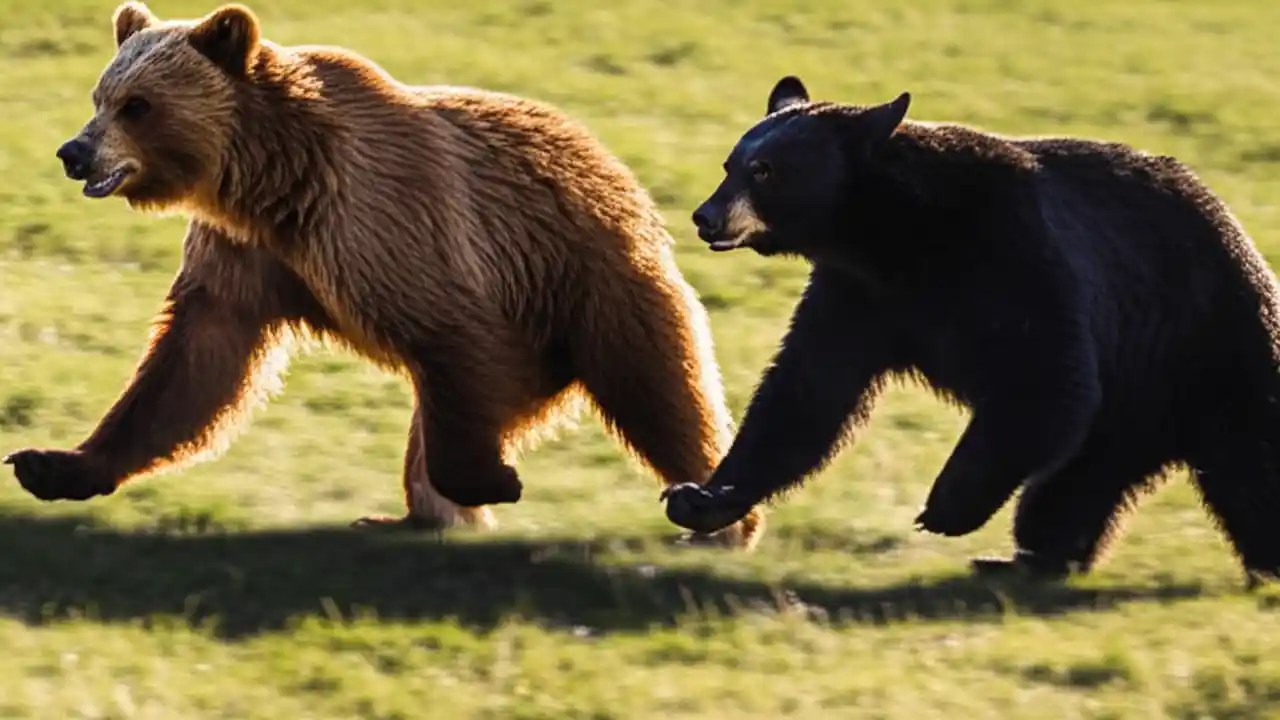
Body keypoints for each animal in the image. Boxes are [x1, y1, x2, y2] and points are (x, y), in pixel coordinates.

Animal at [3, 1, 765, 549]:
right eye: (101, 94)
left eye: (138, 105)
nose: (74, 152)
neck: (272, 180)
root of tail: (613, 164)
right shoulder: (244, 256)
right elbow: (192, 366)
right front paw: (52, 463)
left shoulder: (391, 221)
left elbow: (450, 327)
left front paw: (493, 480)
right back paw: (409, 516)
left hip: (593, 282)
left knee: (660, 392)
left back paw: (717, 520)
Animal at [661, 75, 1280, 585]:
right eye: (731, 163)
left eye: (764, 170)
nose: (705, 217)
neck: (897, 235)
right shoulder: (857, 295)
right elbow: (805, 393)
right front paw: (702, 497)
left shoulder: (1010, 251)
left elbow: (1046, 380)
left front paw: (944, 508)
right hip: (1135, 404)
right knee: (1078, 484)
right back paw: (1026, 560)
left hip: (1211, 343)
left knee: (1250, 464)